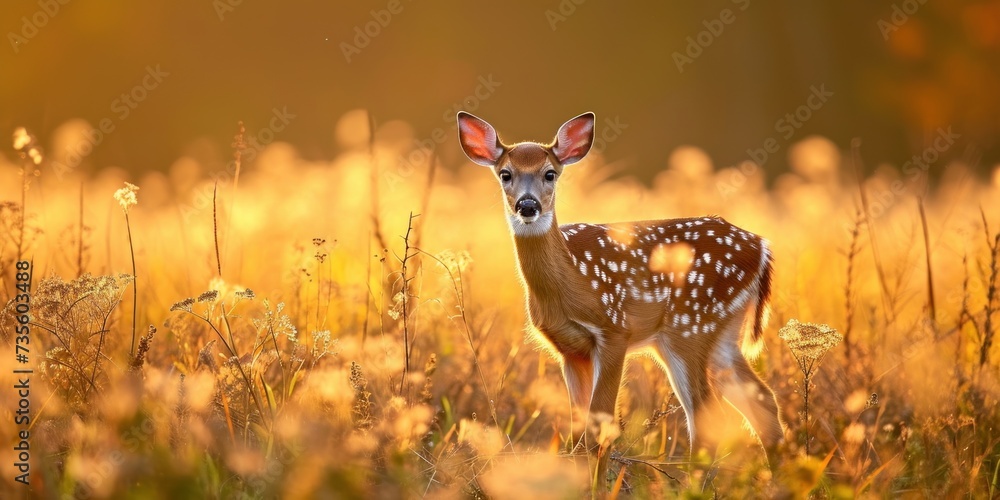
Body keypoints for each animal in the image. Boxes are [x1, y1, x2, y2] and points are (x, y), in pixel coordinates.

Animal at [456, 111, 785, 482]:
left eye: (550, 173)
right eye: (506, 174)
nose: (528, 205)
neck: (569, 282)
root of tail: (762, 248)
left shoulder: (614, 331)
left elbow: (601, 428)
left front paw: (595, 486)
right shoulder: (570, 350)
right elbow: (580, 430)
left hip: (690, 326)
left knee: (706, 416)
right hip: (720, 333)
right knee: (762, 399)